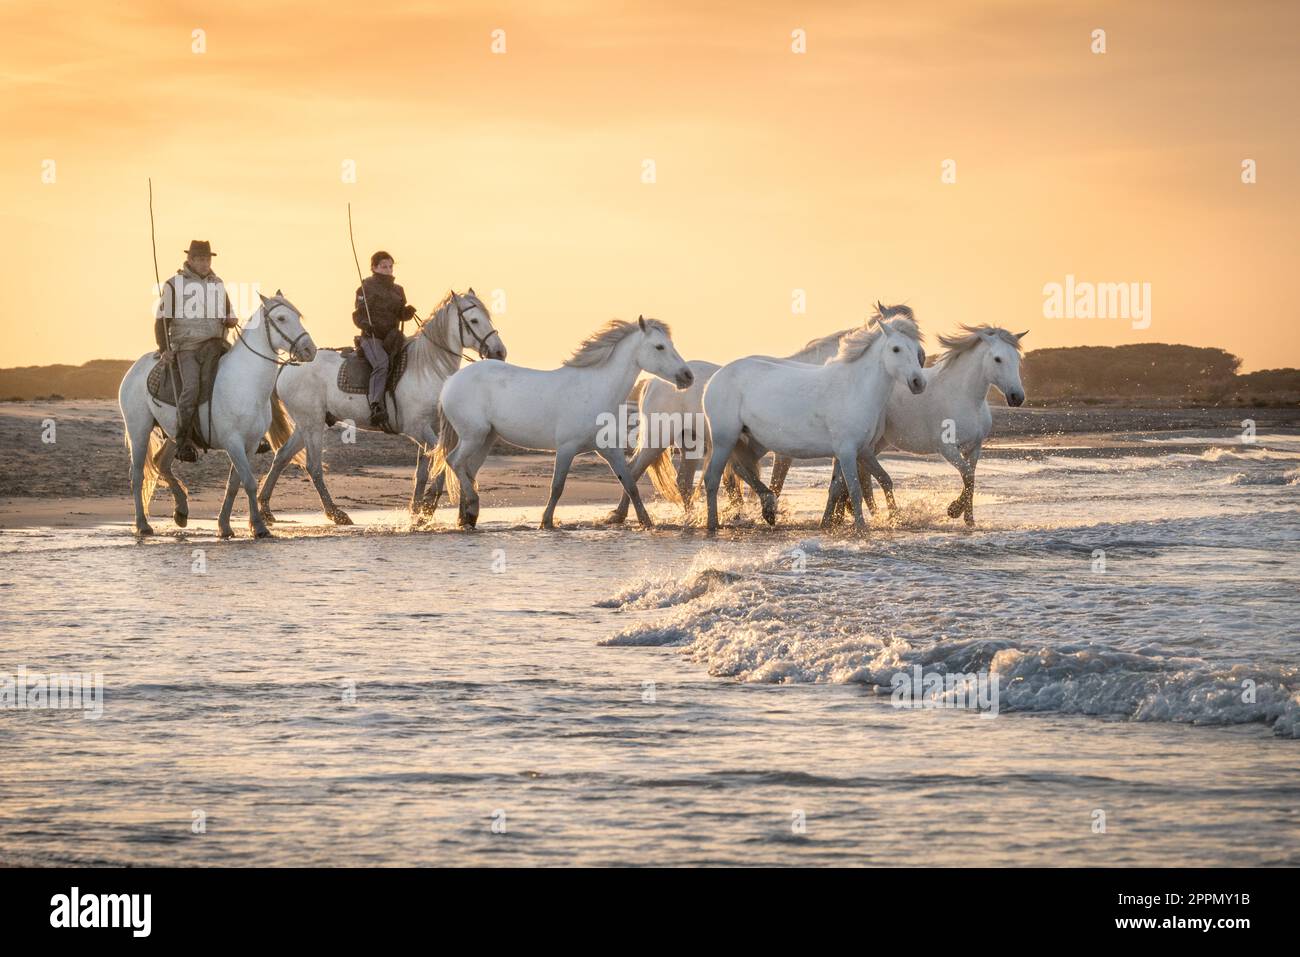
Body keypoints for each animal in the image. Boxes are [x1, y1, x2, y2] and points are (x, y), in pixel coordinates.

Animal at [118, 291, 317, 538]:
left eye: (298, 316)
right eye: (281, 318)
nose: (310, 350)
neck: (246, 381)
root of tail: (136, 367)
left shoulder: (250, 445)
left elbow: (234, 484)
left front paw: (225, 526)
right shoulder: (233, 442)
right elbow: (249, 482)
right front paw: (259, 527)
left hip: (175, 435)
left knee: (160, 462)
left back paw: (181, 511)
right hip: (139, 430)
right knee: (137, 475)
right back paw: (143, 524)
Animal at [257, 289, 505, 527]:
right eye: (474, 320)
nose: (499, 352)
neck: (427, 368)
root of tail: (289, 365)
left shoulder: (430, 430)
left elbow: (422, 471)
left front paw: (417, 511)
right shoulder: (417, 428)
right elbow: (440, 458)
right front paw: (427, 505)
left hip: (308, 424)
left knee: (282, 456)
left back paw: (266, 508)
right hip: (312, 424)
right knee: (313, 466)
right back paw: (336, 514)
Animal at [429, 316, 693, 530]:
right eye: (659, 346)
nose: (687, 376)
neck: (595, 391)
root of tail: (450, 381)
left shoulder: (610, 450)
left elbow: (630, 483)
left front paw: (646, 522)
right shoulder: (566, 448)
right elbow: (557, 487)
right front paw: (546, 523)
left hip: (486, 438)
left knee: (467, 470)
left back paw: (468, 517)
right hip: (473, 435)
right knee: (454, 461)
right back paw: (472, 507)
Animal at [701, 316, 926, 532]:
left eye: (917, 351)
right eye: (896, 348)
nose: (918, 383)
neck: (855, 388)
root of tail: (713, 379)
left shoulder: (863, 451)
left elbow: (881, 479)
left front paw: (895, 519)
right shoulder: (847, 451)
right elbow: (854, 490)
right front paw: (862, 529)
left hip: (747, 440)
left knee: (739, 468)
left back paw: (766, 508)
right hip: (725, 440)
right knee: (713, 478)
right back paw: (713, 524)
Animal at [823, 324, 1026, 526]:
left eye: (1017, 358)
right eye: (998, 359)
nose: (1017, 397)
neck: (964, 396)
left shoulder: (975, 447)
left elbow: (971, 477)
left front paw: (969, 519)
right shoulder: (947, 449)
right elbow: (968, 475)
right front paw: (954, 510)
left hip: (876, 443)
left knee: (858, 478)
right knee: (849, 479)